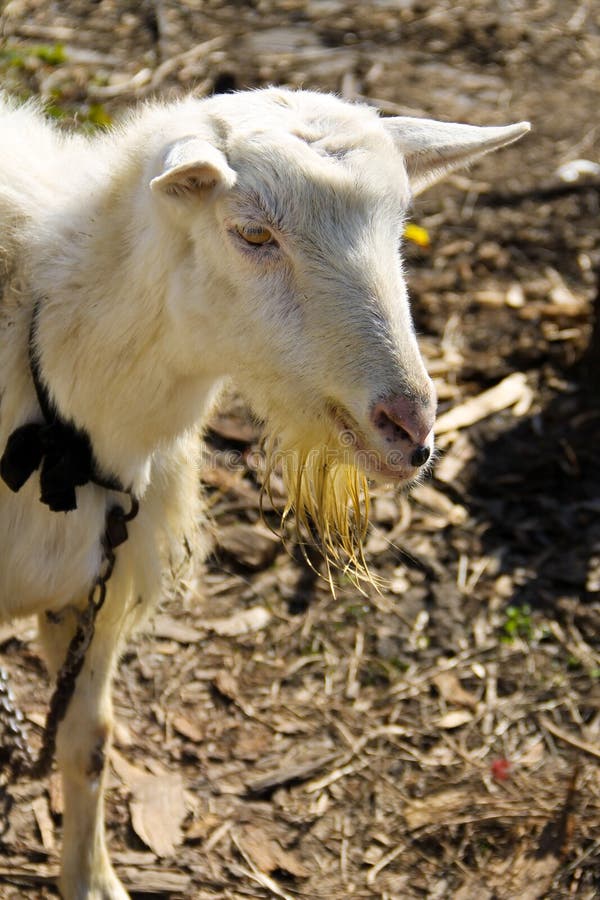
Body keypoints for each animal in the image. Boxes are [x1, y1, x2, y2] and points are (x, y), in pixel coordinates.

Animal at [0, 88, 529, 899]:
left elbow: (90, 742)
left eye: (399, 226)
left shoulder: (93, 590)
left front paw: (92, 880)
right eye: (252, 233)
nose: (410, 426)